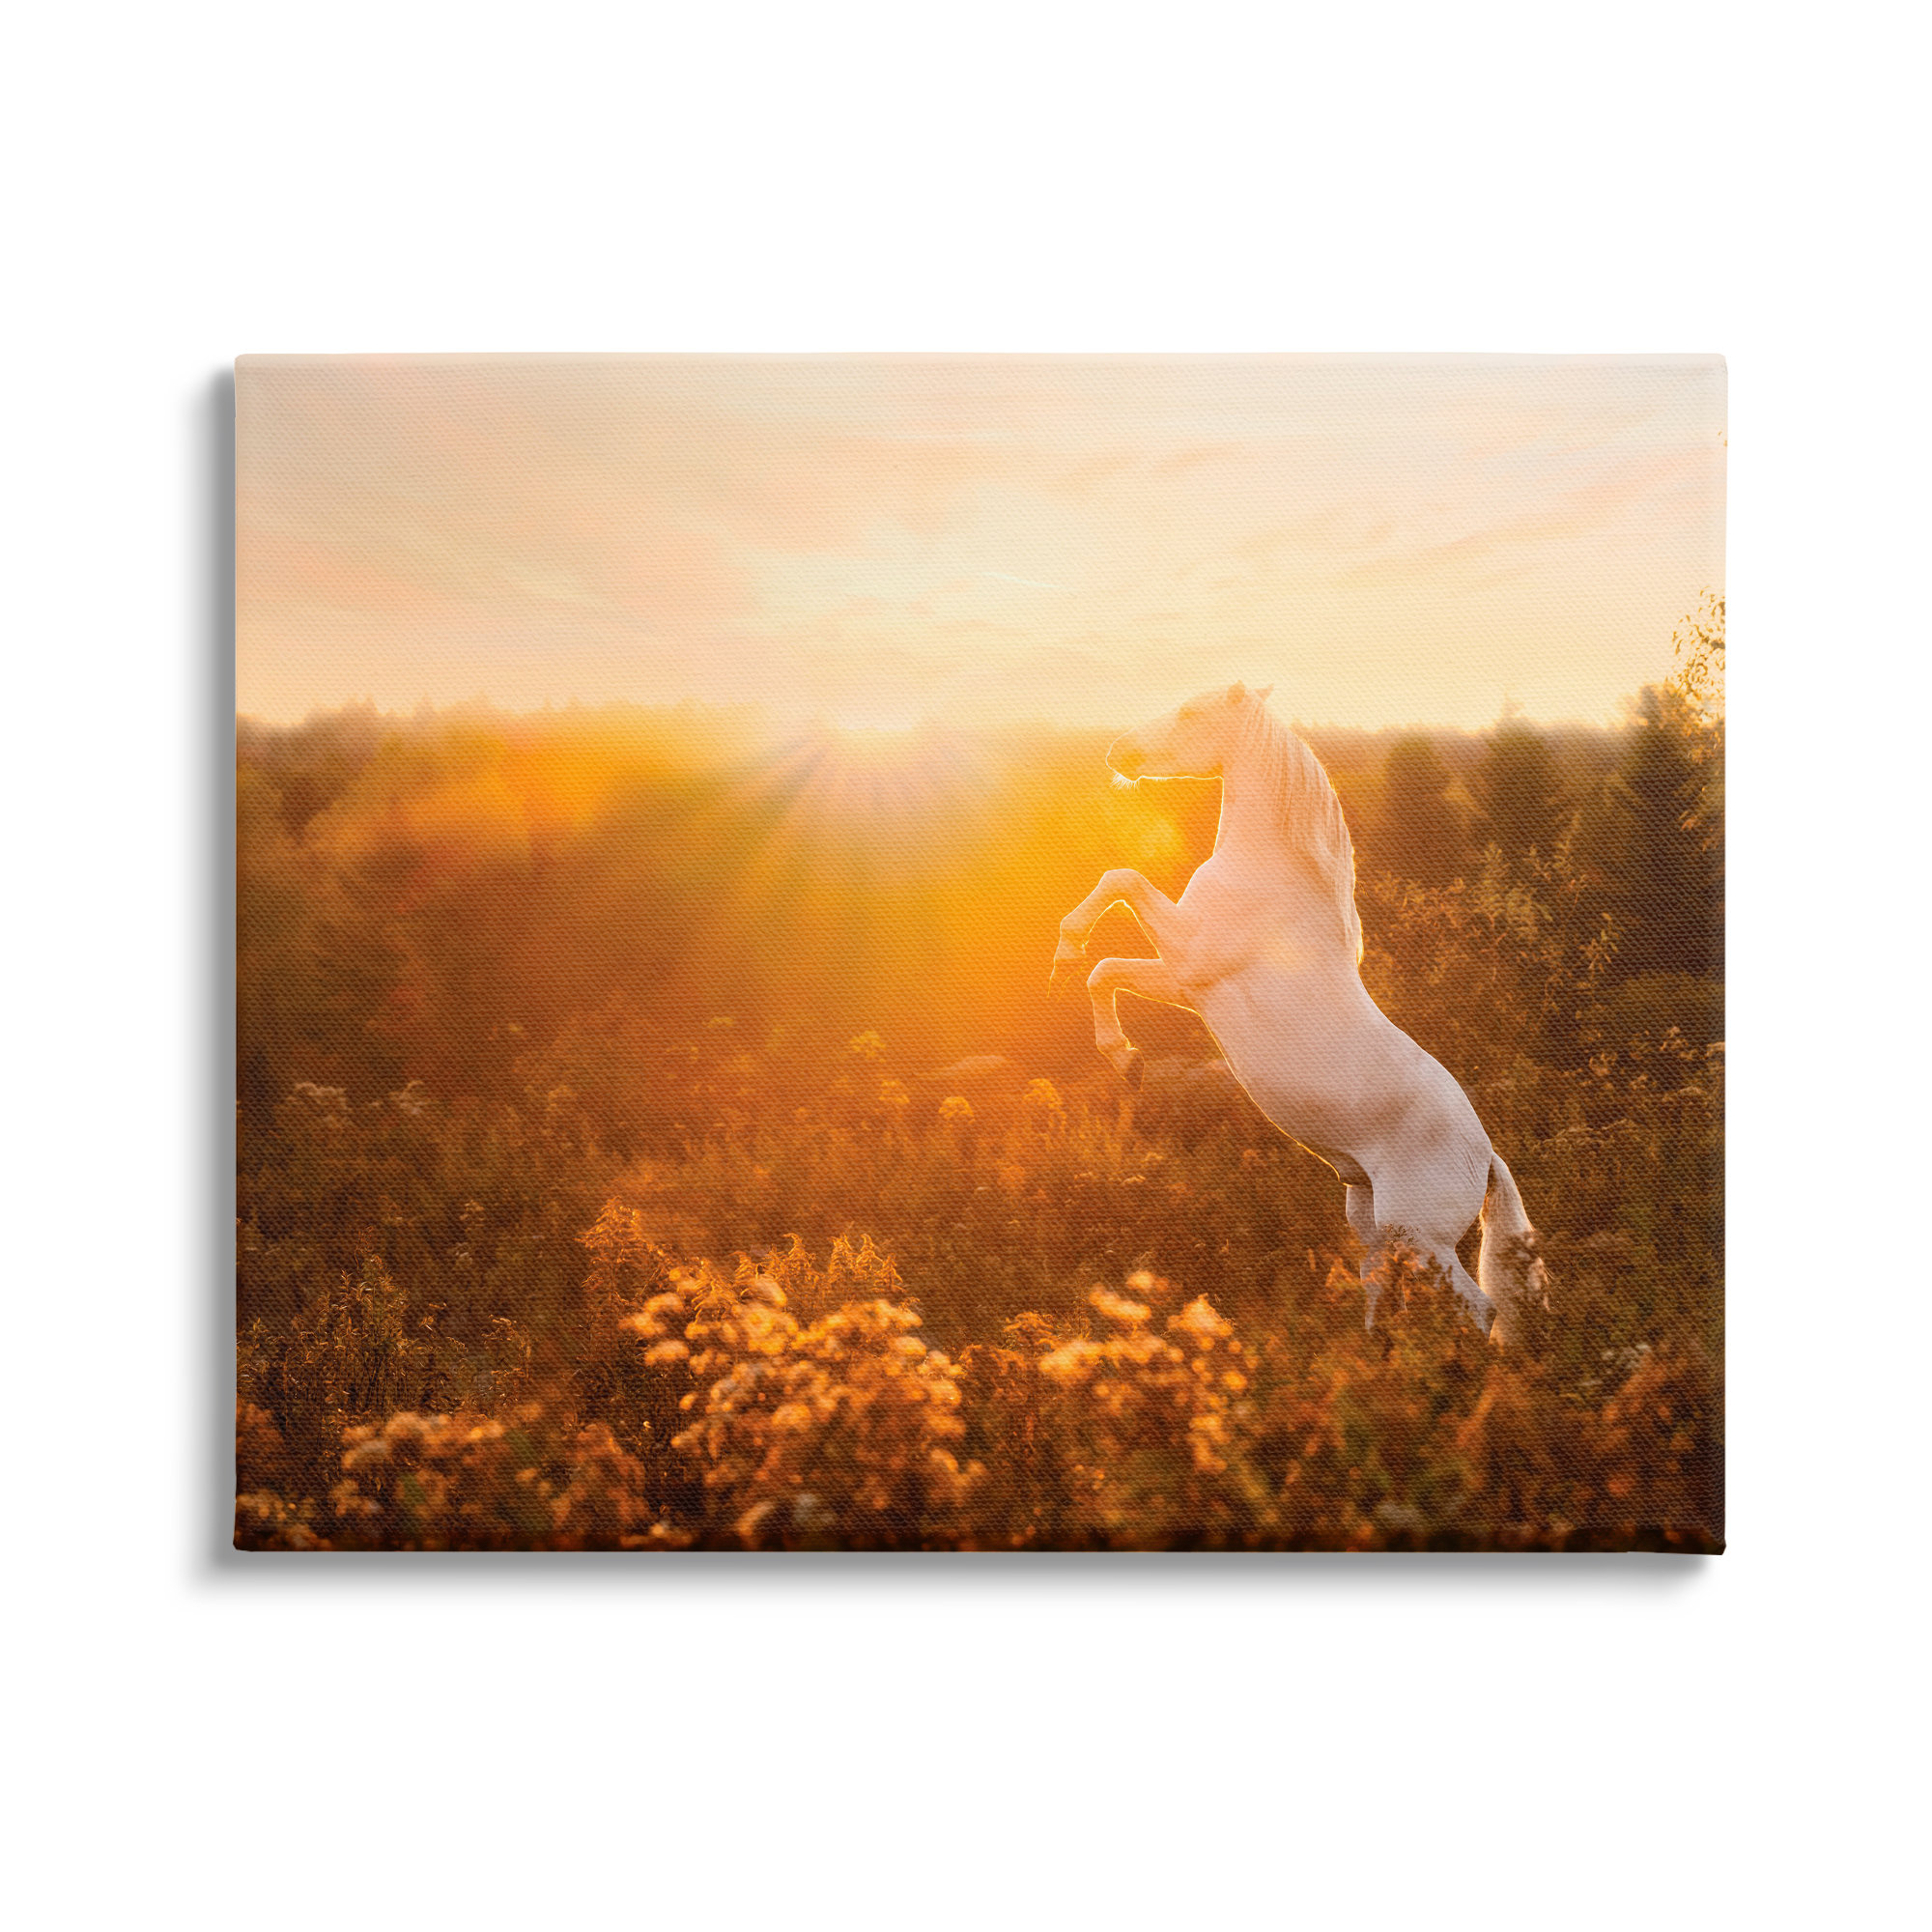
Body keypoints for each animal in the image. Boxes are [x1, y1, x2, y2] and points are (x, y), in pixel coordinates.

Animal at [1050, 681, 1547, 1346]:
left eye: (1191, 711)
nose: (1117, 752)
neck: (1271, 873)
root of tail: (1485, 1154)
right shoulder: (1182, 983)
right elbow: (1105, 966)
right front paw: (1123, 1056)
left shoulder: (1187, 960)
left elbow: (1118, 891)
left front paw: (1092, 1002)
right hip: (1373, 1221)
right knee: (1380, 1285)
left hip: (1422, 1239)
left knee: (1479, 1308)